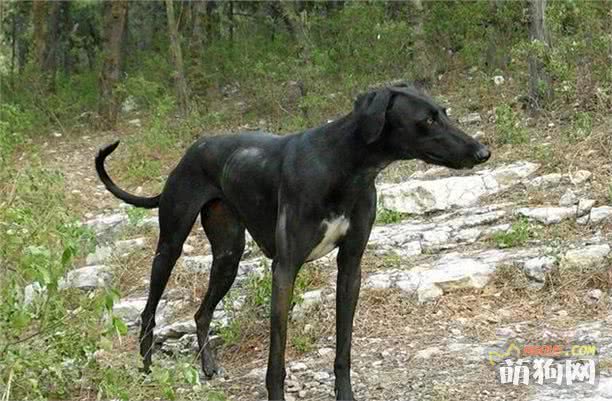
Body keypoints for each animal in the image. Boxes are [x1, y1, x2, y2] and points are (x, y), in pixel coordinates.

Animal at [95, 83, 490, 398]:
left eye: (444, 113)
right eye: (427, 120)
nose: (482, 152)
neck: (343, 165)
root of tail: (191, 150)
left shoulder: (351, 267)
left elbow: (343, 349)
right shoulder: (285, 269)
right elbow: (277, 359)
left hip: (228, 257)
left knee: (201, 312)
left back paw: (207, 366)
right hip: (170, 246)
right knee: (148, 312)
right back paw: (146, 368)